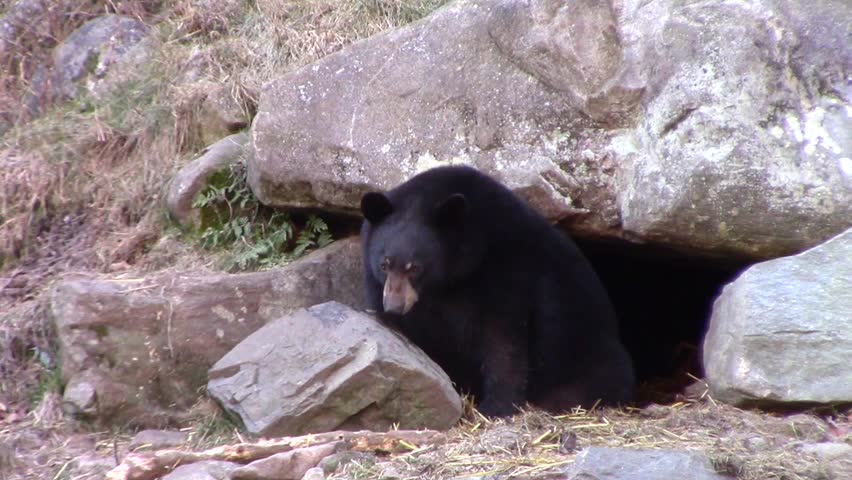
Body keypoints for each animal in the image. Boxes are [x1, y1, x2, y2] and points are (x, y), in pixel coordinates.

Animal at [359, 165, 634, 417]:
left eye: (415, 267)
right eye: (384, 264)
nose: (394, 307)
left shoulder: (508, 270)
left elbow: (503, 340)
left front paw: (497, 407)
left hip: (587, 346)